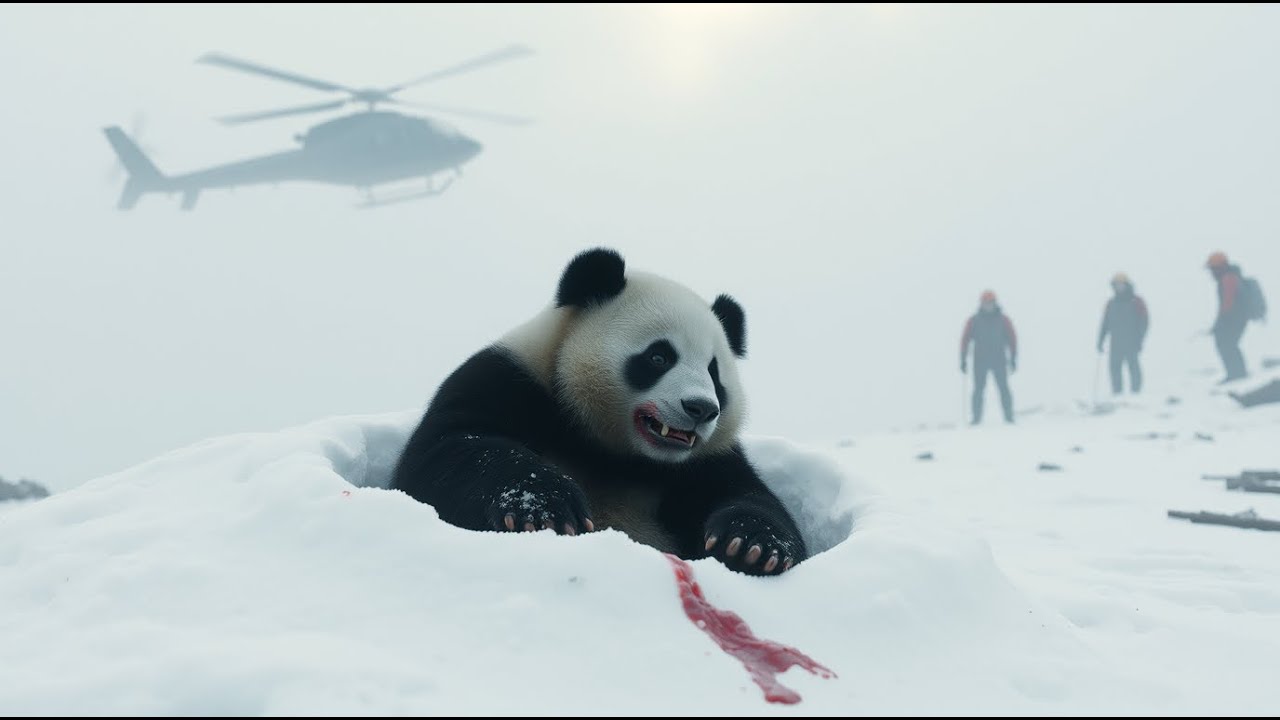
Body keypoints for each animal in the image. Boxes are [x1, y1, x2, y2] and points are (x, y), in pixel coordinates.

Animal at [391, 248, 807, 576]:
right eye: (659, 357)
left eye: (714, 373)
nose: (701, 408)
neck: (611, 451)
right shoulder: (508, 380)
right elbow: (446, 451)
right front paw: (544, 505)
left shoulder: (701, 463)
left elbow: (746, 493)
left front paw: (754, 546)